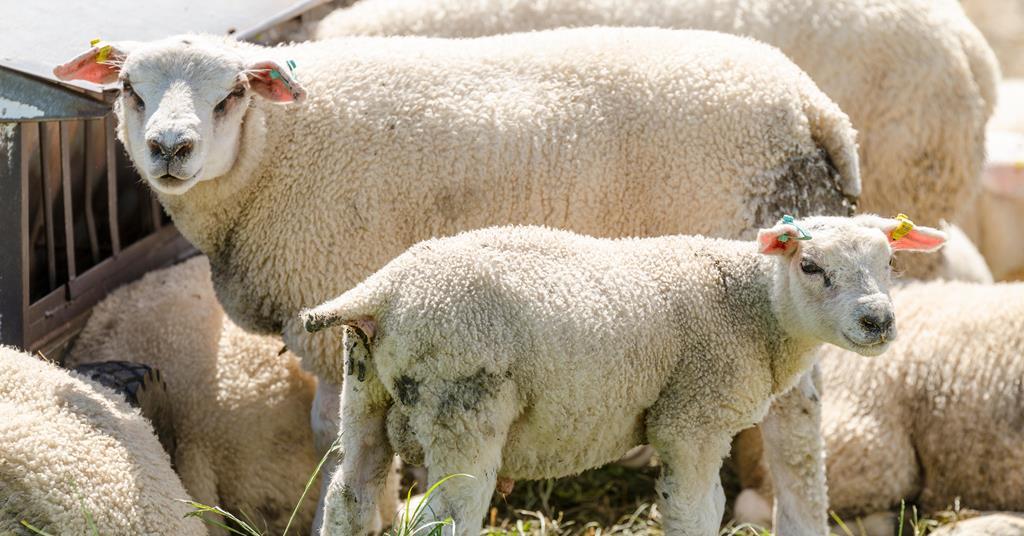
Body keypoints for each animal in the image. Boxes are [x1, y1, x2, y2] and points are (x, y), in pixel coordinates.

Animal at [299, 214, 946, 536]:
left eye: (891, 261)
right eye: (810, 266)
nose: (878, 320)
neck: (752, 306)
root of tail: (383, 289)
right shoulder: (691, 418)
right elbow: (694, 512)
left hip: (364, 398)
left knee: (348, 501)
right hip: (463, 409)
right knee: (441, 520)